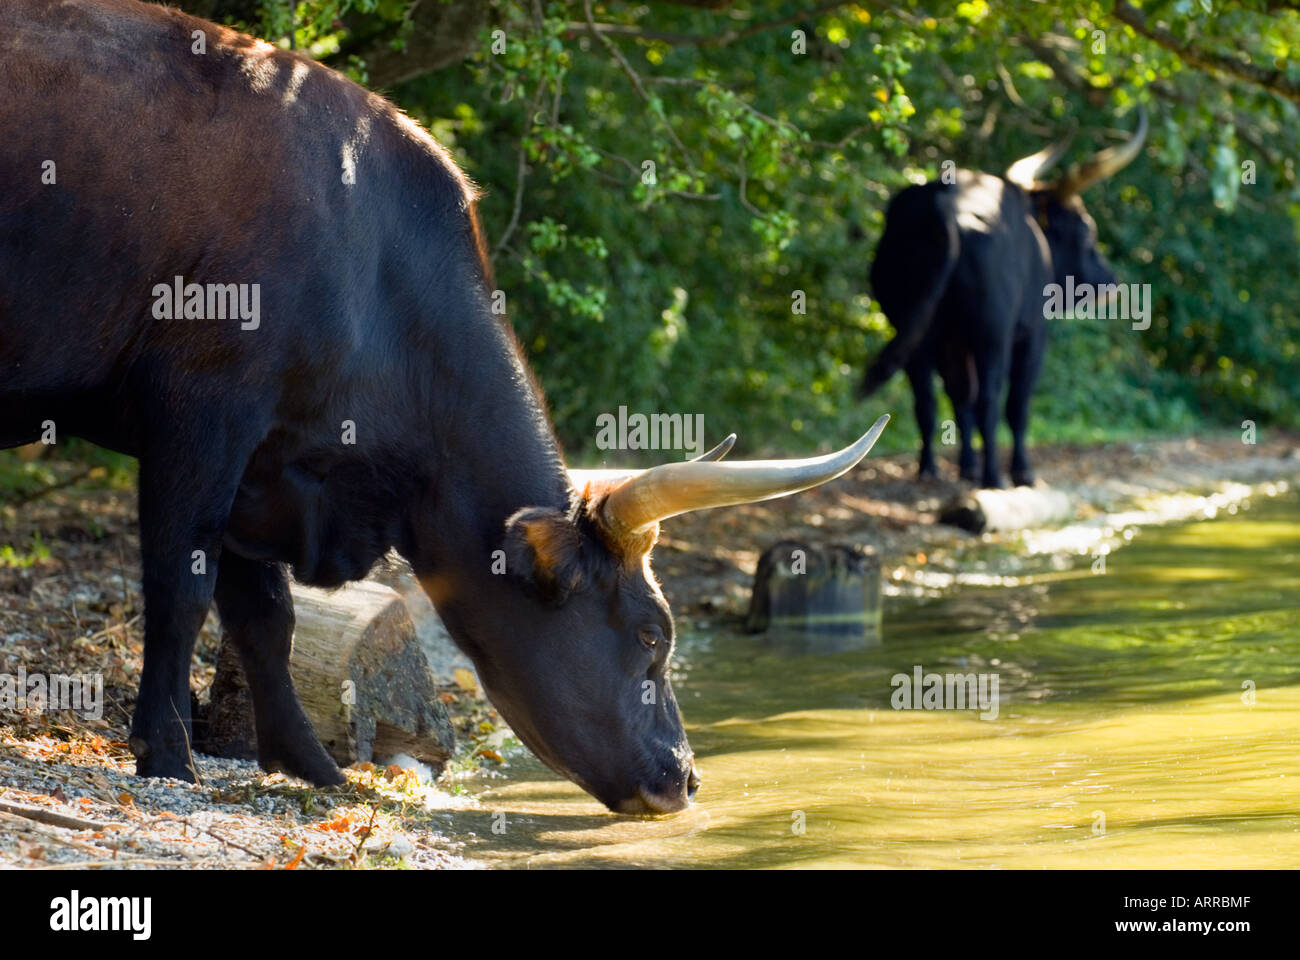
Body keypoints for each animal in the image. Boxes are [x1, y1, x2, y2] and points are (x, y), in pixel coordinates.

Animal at [0, 0, 890, 814]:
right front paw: (168, 756)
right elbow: (181, 589)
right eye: (650, 634)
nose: (684, 778)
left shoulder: (261, 464)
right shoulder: (203, 417)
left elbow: (265, 619)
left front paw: (309, 766)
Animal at [860, 109, 1147, 488]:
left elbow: (959, 399)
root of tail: (941, 205)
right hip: (992, 334)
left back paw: (930, 469)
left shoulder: (953, 341)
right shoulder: (1032, 334)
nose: (1112, 282)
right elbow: (1017, 403)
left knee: (927, 400)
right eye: (1087, 230)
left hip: (913, 330)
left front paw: (967, 466)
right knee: (991, 399)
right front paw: (1021, 470)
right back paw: (994, 476)